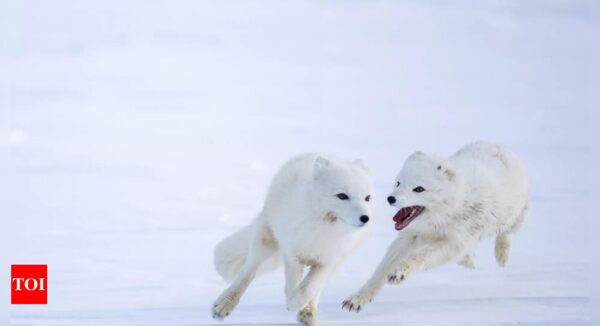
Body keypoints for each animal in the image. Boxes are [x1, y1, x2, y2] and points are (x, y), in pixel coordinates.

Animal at [211, 154, 370, 324]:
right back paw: (224, 303)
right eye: (342, 196)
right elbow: (293, 285)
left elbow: (309, 288)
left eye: (367, 198)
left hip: (338, 264)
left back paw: (308, 314)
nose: (365, 218)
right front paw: (292, 302)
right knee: (248, 271)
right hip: (265, 242)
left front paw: (299, 305)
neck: (325, 230)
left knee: (317, 290)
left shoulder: (328, 261)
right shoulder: (292, 254)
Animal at [342, 141, 528, 312]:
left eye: (419, 189)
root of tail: (497, 145)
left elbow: (422, 256)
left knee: (507, 232)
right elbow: (382, 268)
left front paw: (399, 272)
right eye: (398, 183)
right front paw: (357, 299)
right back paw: (470, 259)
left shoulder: (456, 239)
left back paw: (501, 255)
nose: (390, 199)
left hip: (513, 216)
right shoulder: (412, 235)